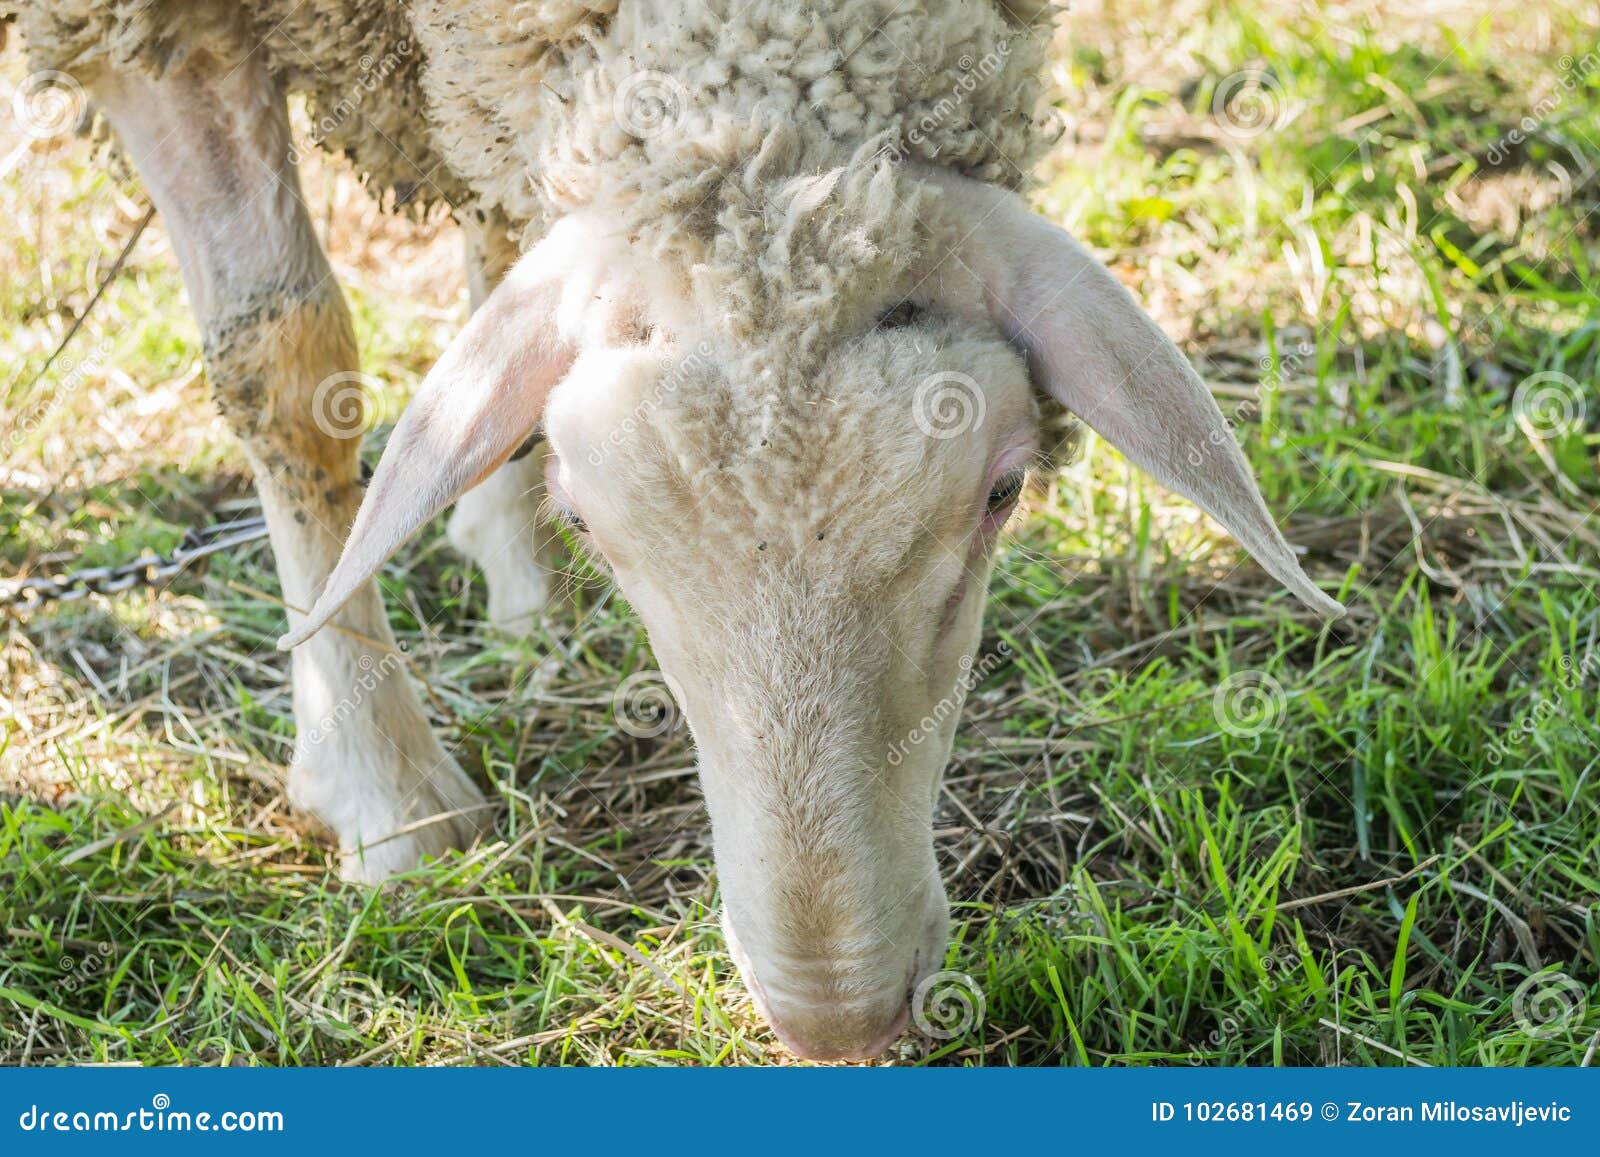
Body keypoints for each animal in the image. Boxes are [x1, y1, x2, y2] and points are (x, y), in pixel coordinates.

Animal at [8, 0, 1344, 1060]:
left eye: (1002, 491)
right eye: (598, 525)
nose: (838, 1018)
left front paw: (511, 556)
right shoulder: (148, 26)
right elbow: (284, 365)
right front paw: (387, 794)